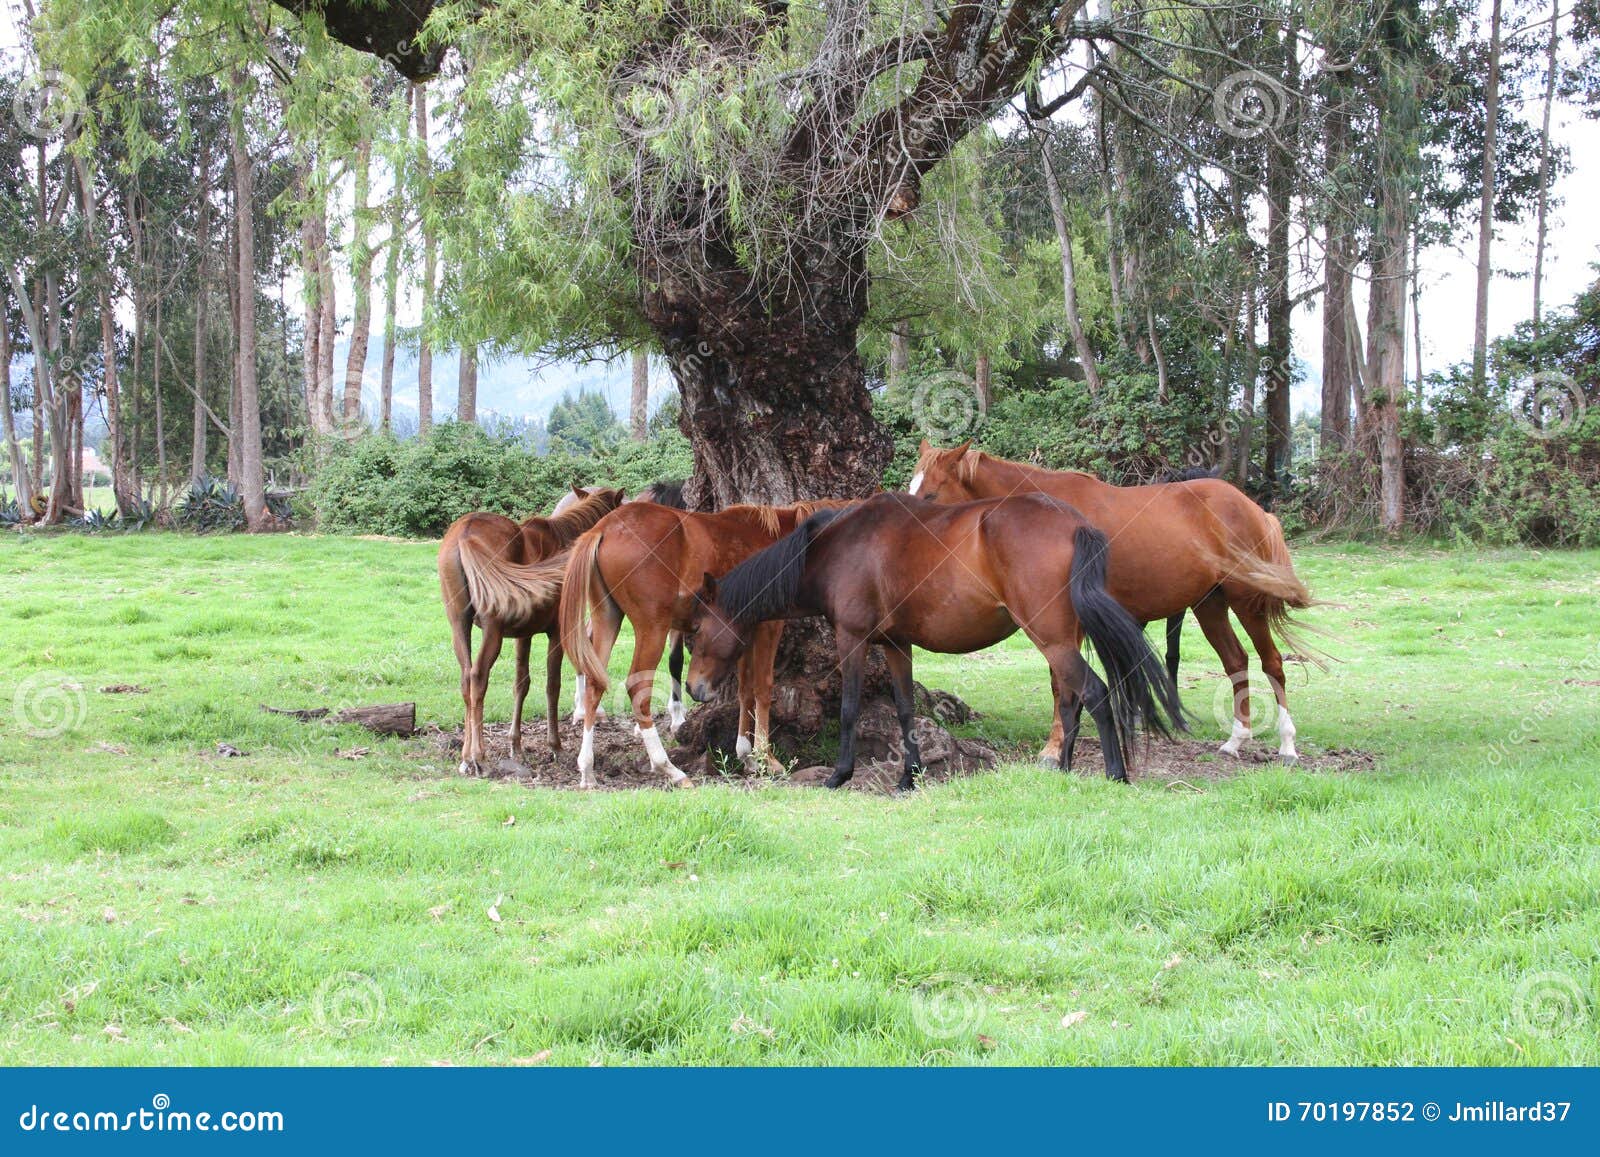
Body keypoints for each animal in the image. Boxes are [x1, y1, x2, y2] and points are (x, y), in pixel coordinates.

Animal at [438, 487, 626, 774]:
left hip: (459, 623)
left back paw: (465, 757)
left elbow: (521, 683)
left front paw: (516, 747)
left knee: (465, 679)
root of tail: (465, 533)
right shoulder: (556, 632)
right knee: (478, 678)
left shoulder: (523, 635)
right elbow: (552, 685)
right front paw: (555, 745)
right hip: (492, 630)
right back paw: (479, 756)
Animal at [559, 498, 851, 788]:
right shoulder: (768, 627)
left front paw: (747, 756)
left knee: (595, 684)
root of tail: (605, 528)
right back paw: (668, 768)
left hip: (607, 617)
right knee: (638, 686)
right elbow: (762, 687)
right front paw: (766, 757)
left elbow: (745, 689)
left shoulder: (745, 630)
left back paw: (587, 769)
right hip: (653, 629)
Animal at [682, 492, 1188, 790]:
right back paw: (1060, 771)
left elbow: (849, 709)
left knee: (1095, 695)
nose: (694, 689)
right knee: (1069, 701)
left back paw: (1115, 774)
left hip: (1052, 640)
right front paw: (909, 776)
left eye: (695, 632)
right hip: (1059, 641)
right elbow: (906, 710)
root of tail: (1072, 523)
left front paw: (841, 775)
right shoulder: (895, 645)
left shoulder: (853, 640)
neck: (839, 548)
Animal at [908, 441, 1314, 762]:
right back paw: (1235, 740)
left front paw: (1054, 749)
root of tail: (1254, 509)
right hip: (1209, 605)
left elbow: (1063, 685)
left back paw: (1287, 745)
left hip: (1246, 602)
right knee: (1236, 662)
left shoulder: (1063, 627)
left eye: (931, 495)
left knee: (1272, 664)